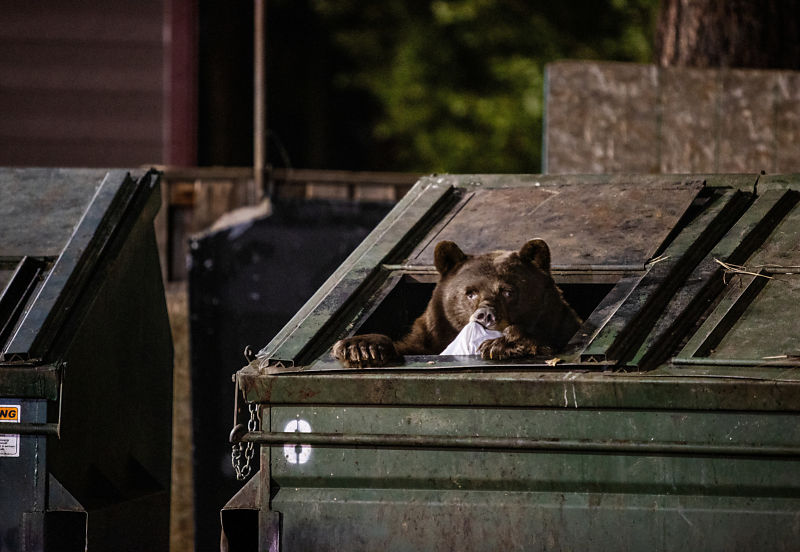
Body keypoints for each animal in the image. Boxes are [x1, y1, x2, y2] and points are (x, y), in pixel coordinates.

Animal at [332, 238, 582, 368]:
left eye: (508, 291)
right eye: (470, 293)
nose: (485, 315)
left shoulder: (562, 327)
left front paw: (502, 343)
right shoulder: (431, 337)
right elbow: (407, 346)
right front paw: (359, 346)